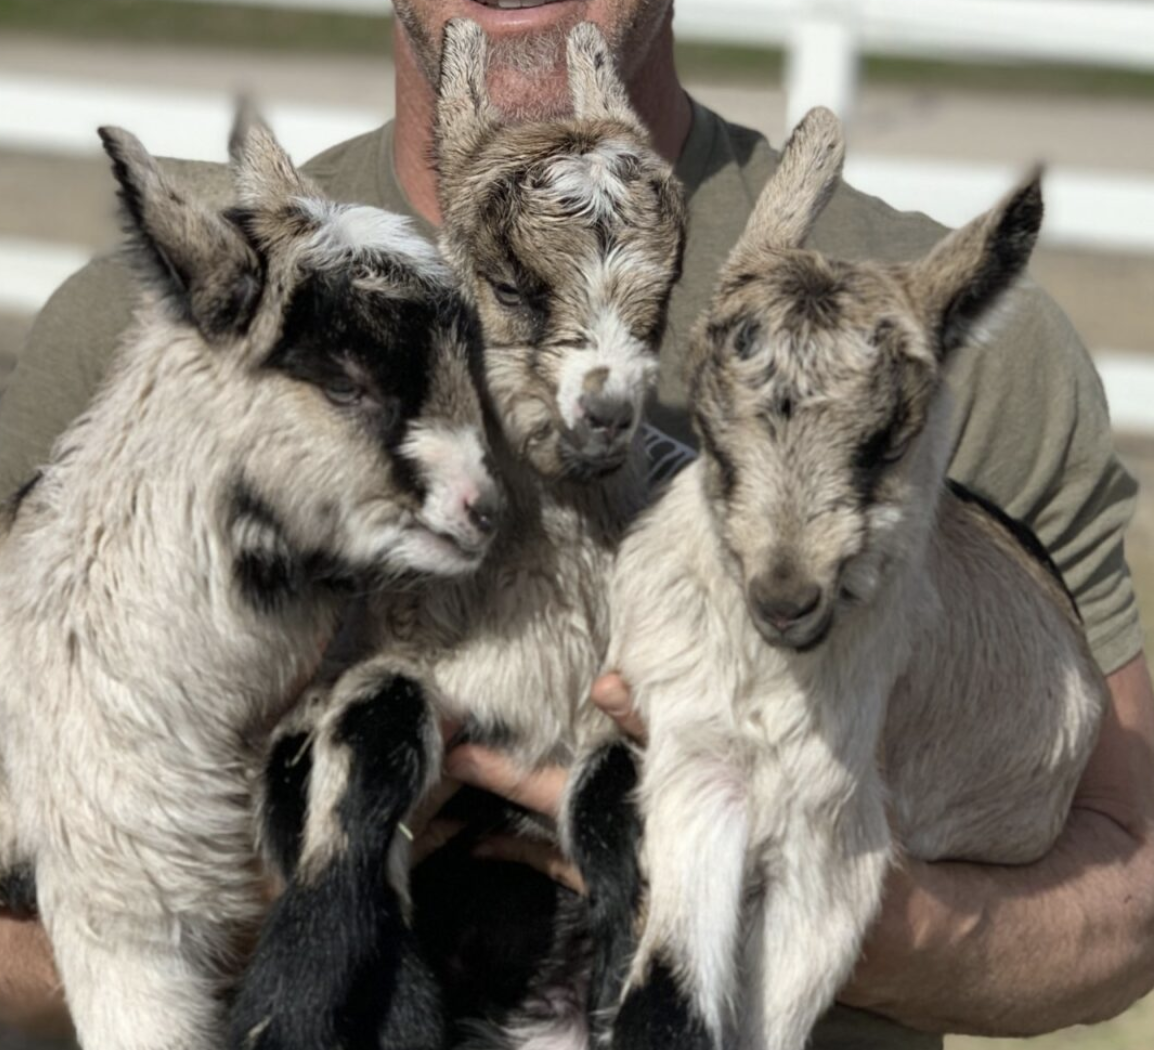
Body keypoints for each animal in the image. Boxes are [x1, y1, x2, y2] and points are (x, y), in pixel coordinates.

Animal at [231, 20, 688, 1050]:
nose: (608, 414)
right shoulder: (354, 684)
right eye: (512, 285)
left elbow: (617, 810)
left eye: (666, 300)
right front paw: (308, 997)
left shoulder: (608, 712)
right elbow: (360, 753)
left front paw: (627, 991)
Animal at [588, 108, 1107, 1050]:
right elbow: (664, 1001)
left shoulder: (828, 848)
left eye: (885, 444)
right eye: (713, 440)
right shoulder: (695, 765)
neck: (766, 684)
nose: (786, 598)